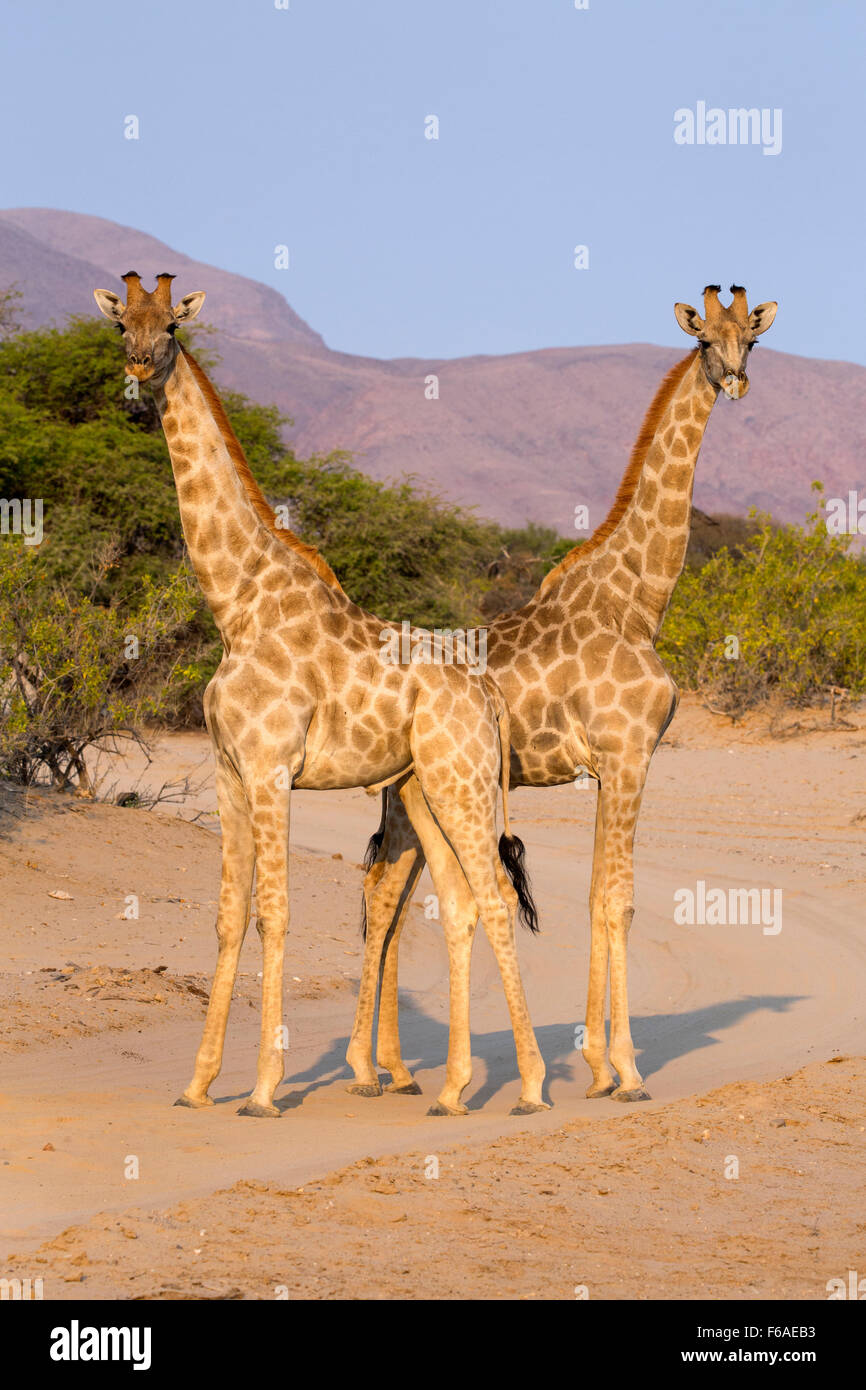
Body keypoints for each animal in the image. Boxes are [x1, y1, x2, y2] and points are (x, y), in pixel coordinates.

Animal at [93, 272, 549, 1118]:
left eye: (171, 327)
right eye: (119, 326)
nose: (137, 382)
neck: (237, 605)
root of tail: (490, 694)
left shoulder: (274, 771)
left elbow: (274, 913)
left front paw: (264, 1091)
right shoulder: (231, 774)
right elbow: (227, 916)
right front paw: (197, 1085)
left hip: (463, 783)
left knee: (497, 898)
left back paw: (531, 1087)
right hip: (423, 790)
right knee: (459, 902)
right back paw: (450, 1091)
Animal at [348, 285, 777, 1103]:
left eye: (754, 338)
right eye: (705, 340)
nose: (738, 382)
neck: (637, 599)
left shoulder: (613, 766)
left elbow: (598, 896)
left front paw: (599, 1066)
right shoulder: (630, 756)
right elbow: (617, 900)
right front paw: (626, 1070)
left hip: (409, 794)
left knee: (386, 890)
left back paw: (386, 1068)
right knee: (387, 894)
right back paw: (378, 1068)